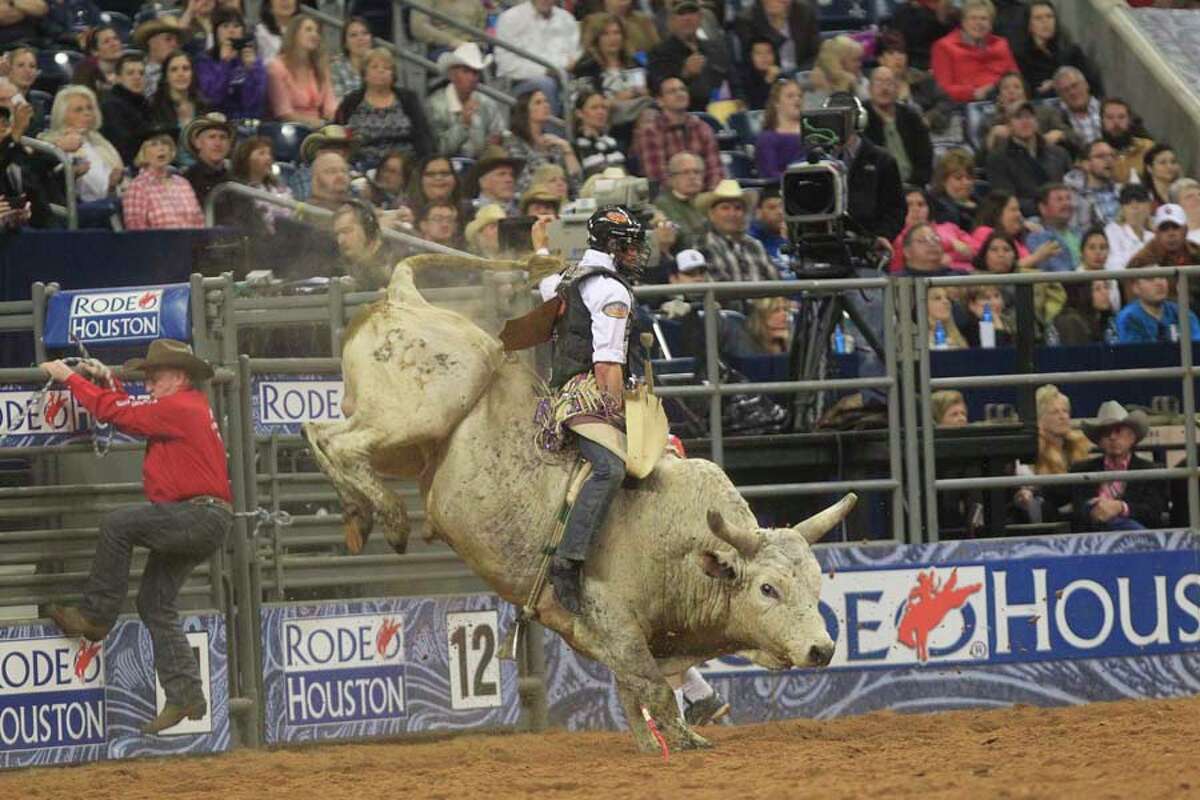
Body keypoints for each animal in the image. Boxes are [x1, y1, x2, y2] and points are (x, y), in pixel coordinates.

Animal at [303, 255, 854, 752]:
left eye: (815, 582)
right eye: (768, 588)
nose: (822, 649)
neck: (683, 546)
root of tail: (404, 296)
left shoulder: (617, 640)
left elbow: (634, 691)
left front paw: (652, 742)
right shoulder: (612, 619)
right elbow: (653, 688)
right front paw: (684, 739)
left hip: (408, 445)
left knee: (330, 435)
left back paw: (358, 514)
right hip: (420, 411)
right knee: (329, 436)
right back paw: (387, 517)